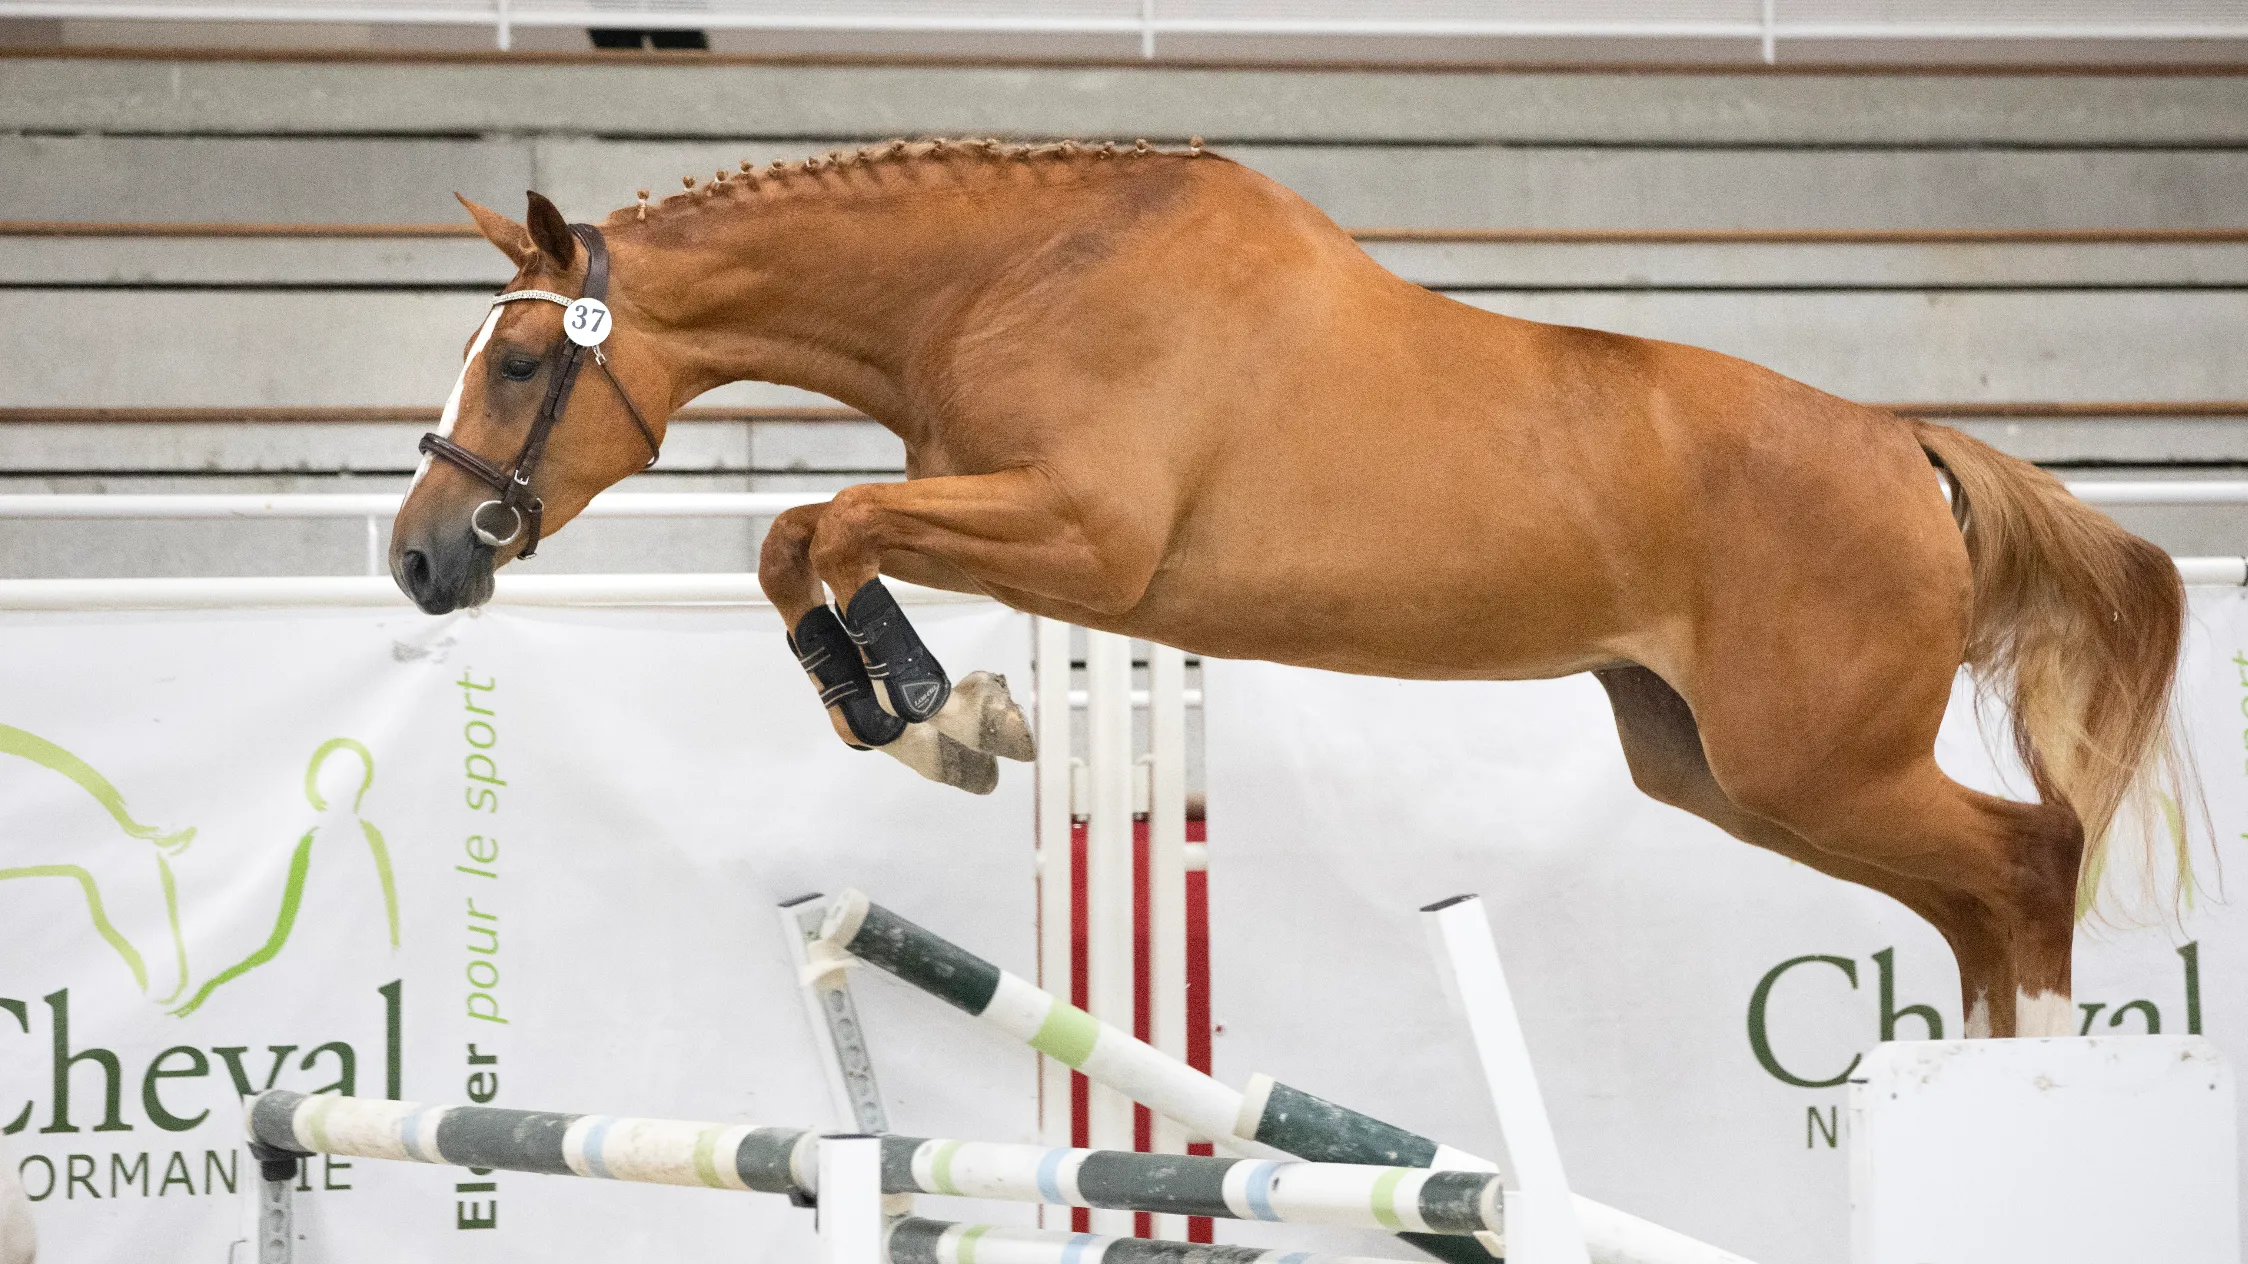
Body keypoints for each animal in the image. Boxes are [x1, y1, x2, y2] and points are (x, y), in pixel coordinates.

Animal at [390, 138, 2188, 1039]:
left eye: (528, 361)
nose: (417, 555)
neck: (1013, 271)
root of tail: (1907, 447)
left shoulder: (1085, 536)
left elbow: (824, 528)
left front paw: (942, 716)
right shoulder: (1010, 516)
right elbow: (805, 539)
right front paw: (936, 716)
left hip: (1814, 761)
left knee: (2027, 863)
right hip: (1718, 770)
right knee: (1972, 904)